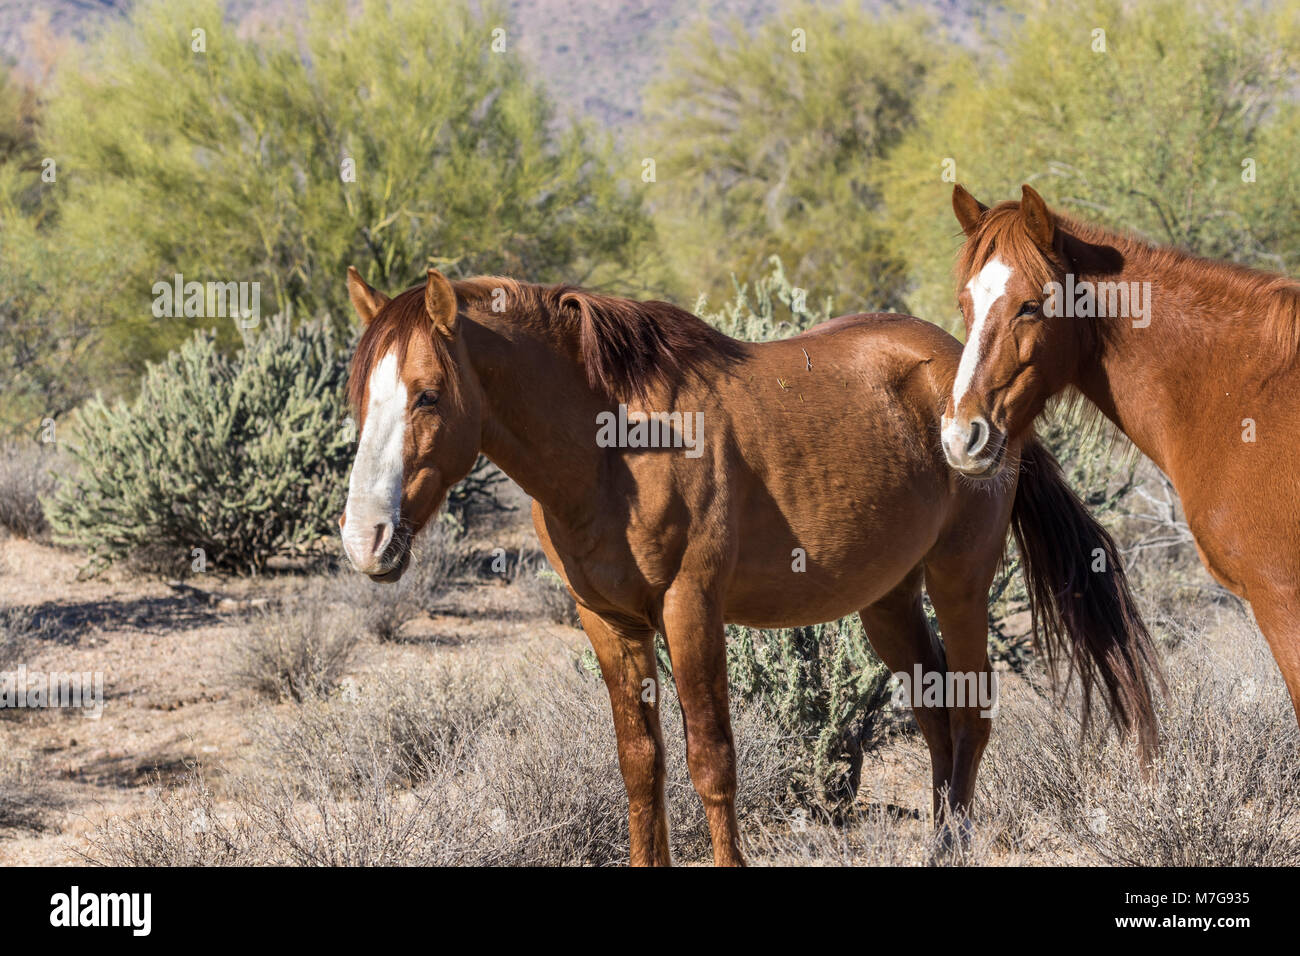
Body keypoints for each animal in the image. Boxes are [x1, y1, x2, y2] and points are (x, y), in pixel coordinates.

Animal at [337, 265, 1160, 866]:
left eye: (427, 395)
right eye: (358, 398)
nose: (364, 539)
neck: (614, 446)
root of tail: (969, 383)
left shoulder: (690, 608)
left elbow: (711, 760)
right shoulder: (609, 623)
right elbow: (640, 763)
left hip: (960, 583)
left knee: (971, 710)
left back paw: (951, 849)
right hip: (888, 599)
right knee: (934, 713)